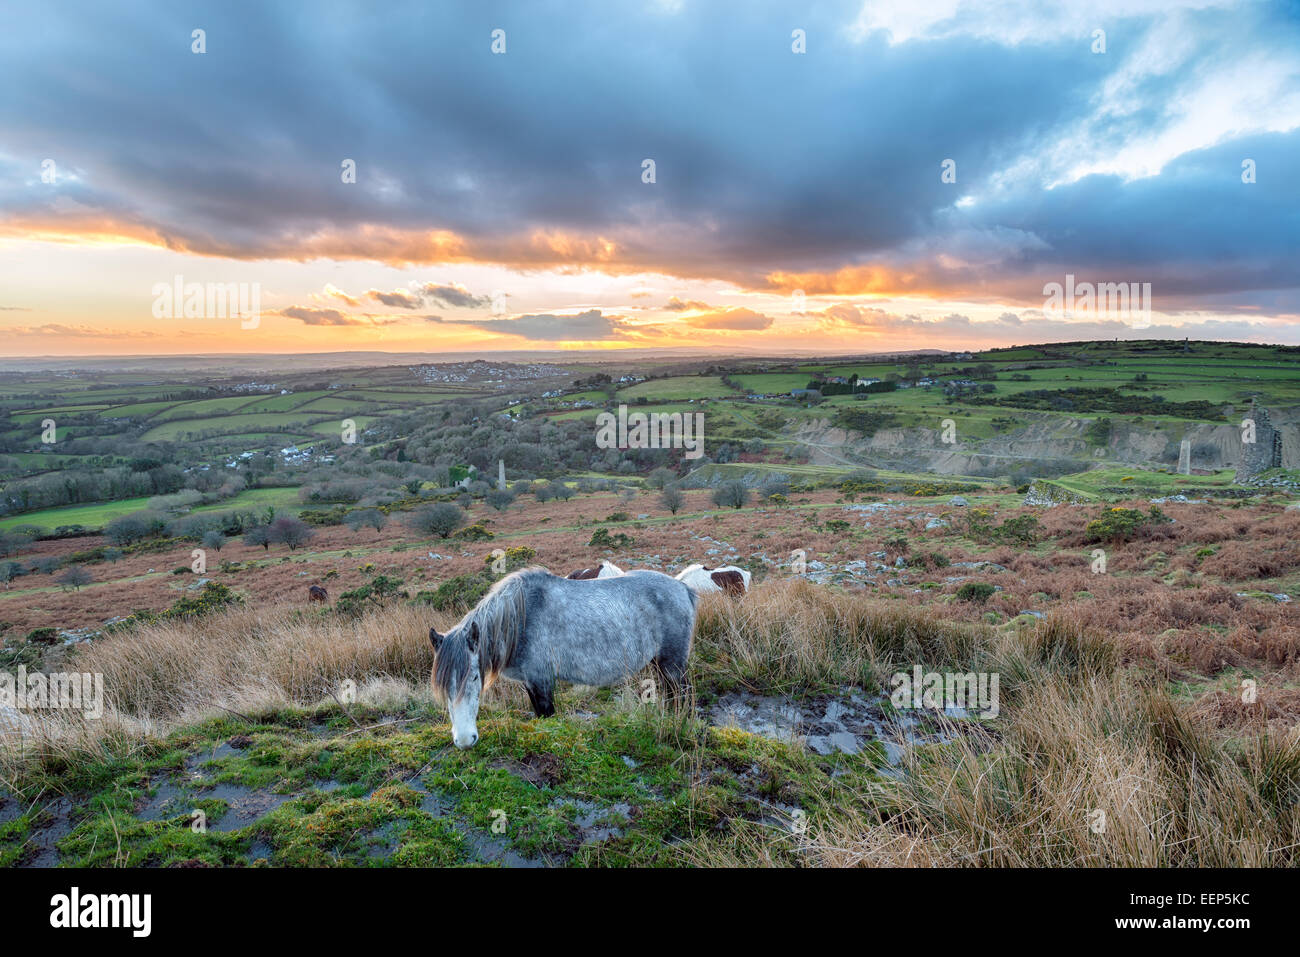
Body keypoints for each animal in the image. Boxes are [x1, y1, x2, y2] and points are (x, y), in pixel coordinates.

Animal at [428, 567, 697, 748]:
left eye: (475, 677)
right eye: (443, 685)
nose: (465, 740)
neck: (521, 619)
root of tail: (682, 587)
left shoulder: (542, 681)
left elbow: (547, 715)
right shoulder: (530, 682)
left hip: (673, 664)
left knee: (681, 694)